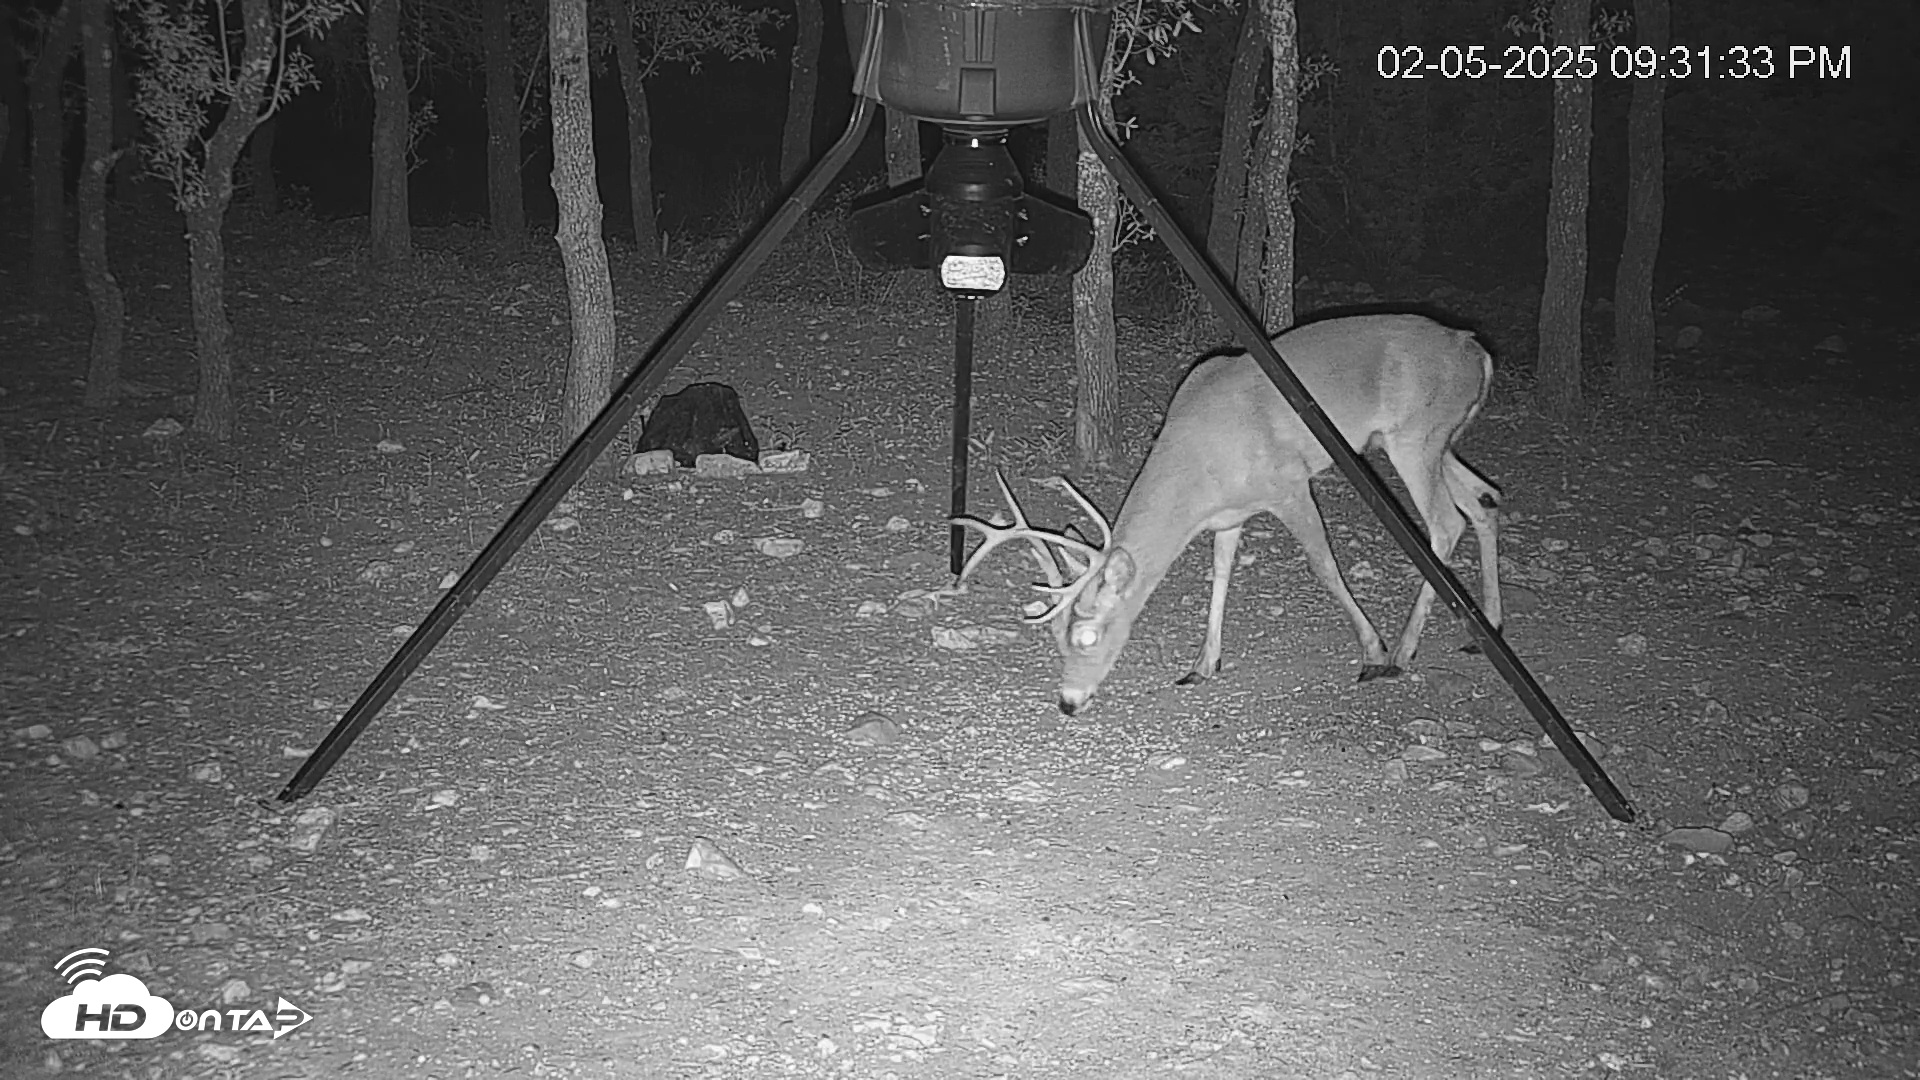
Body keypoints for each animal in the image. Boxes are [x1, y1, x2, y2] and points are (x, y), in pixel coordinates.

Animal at [953, 313, 1504, 716]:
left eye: (1088, 635)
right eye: (1054, 639)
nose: (1068, 702)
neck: (1199, 460)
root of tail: (1476, 348)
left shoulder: (1289, 483)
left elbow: (1324, 567)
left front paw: (1372, 652)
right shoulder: (1230, 514)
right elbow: (1219, 575)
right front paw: (1201, 665)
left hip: (1415, 437)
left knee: (1445, 523)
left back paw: (1403, 653)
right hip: (1437, 442)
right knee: (1485, 499)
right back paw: (1487, 629)